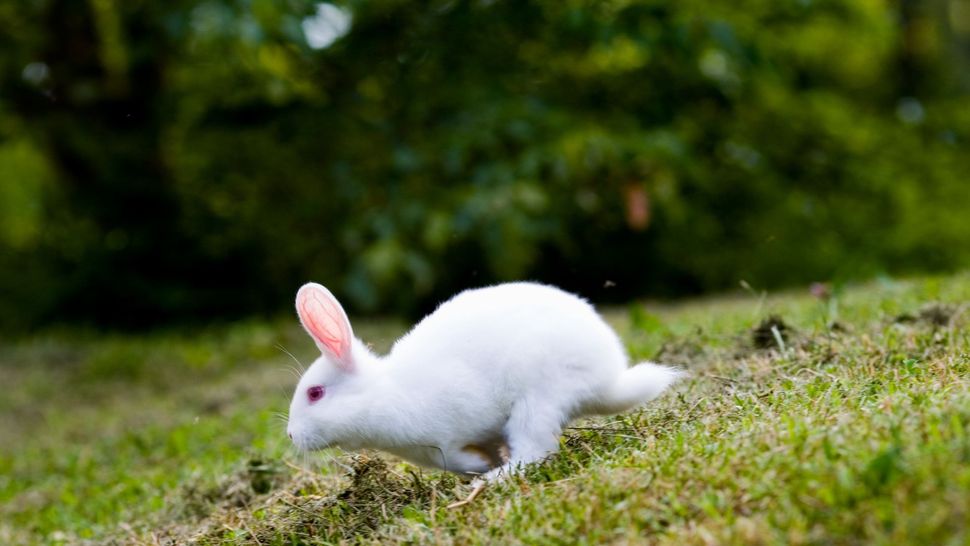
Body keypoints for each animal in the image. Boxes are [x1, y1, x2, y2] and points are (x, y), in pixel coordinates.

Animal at [286, 281, 683, 483]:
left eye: (315, 393)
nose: (290, 435)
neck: (384, 393)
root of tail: (608, 378)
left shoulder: (444, 441)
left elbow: (459, 458)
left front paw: (479, 467)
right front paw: (485, 462)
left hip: (537, 402)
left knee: (534, 452)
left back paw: (489, 480)